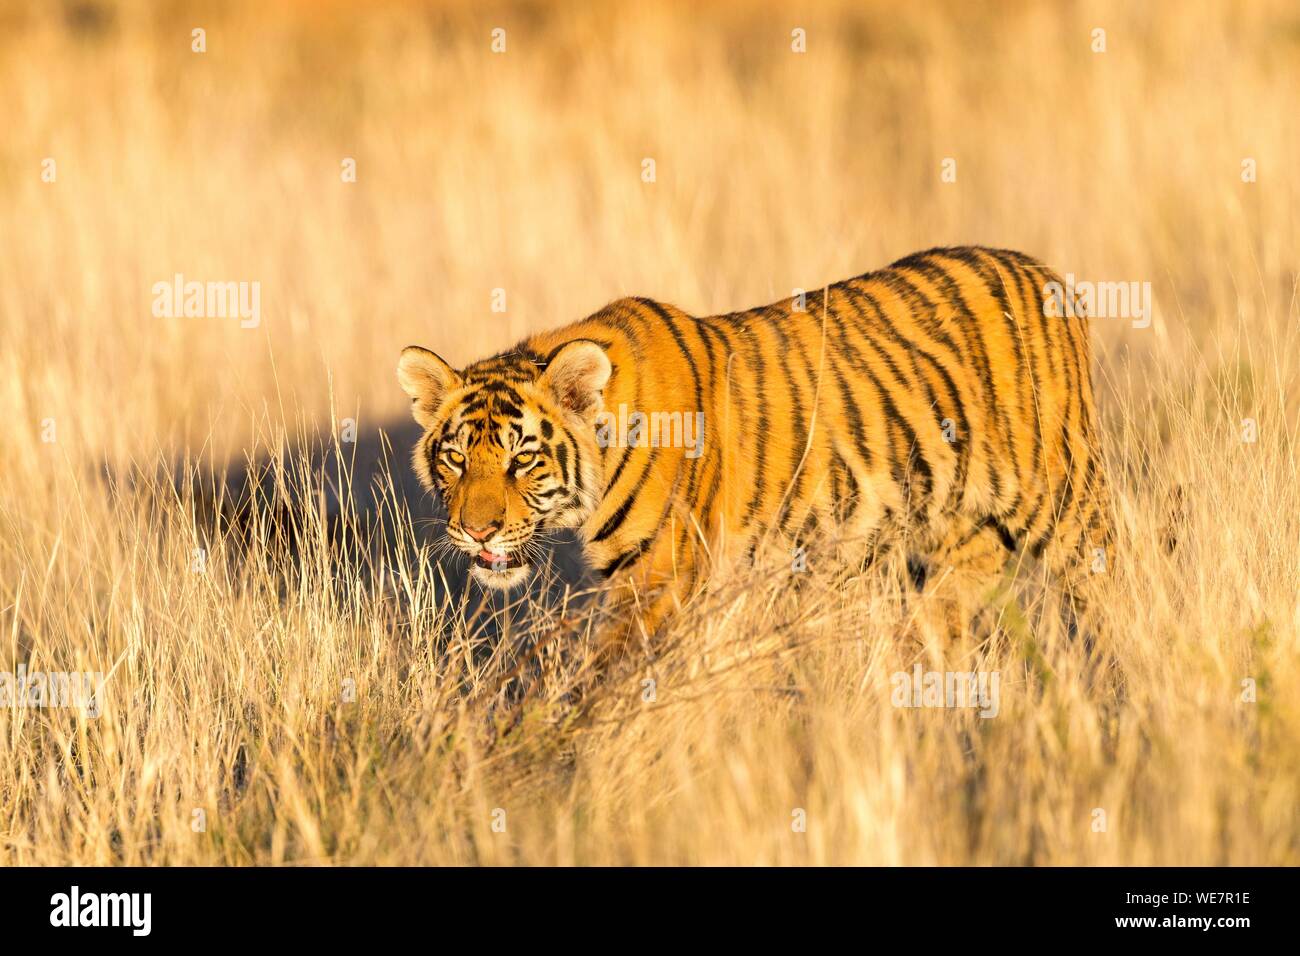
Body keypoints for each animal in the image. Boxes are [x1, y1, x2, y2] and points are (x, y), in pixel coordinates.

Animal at [397, 245, 1113, 644]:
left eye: (523, 459)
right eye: (456, 458)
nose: (478, 532)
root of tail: (1040, 269)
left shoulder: (657, 582)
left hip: (1068, 507)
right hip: (951, 546)